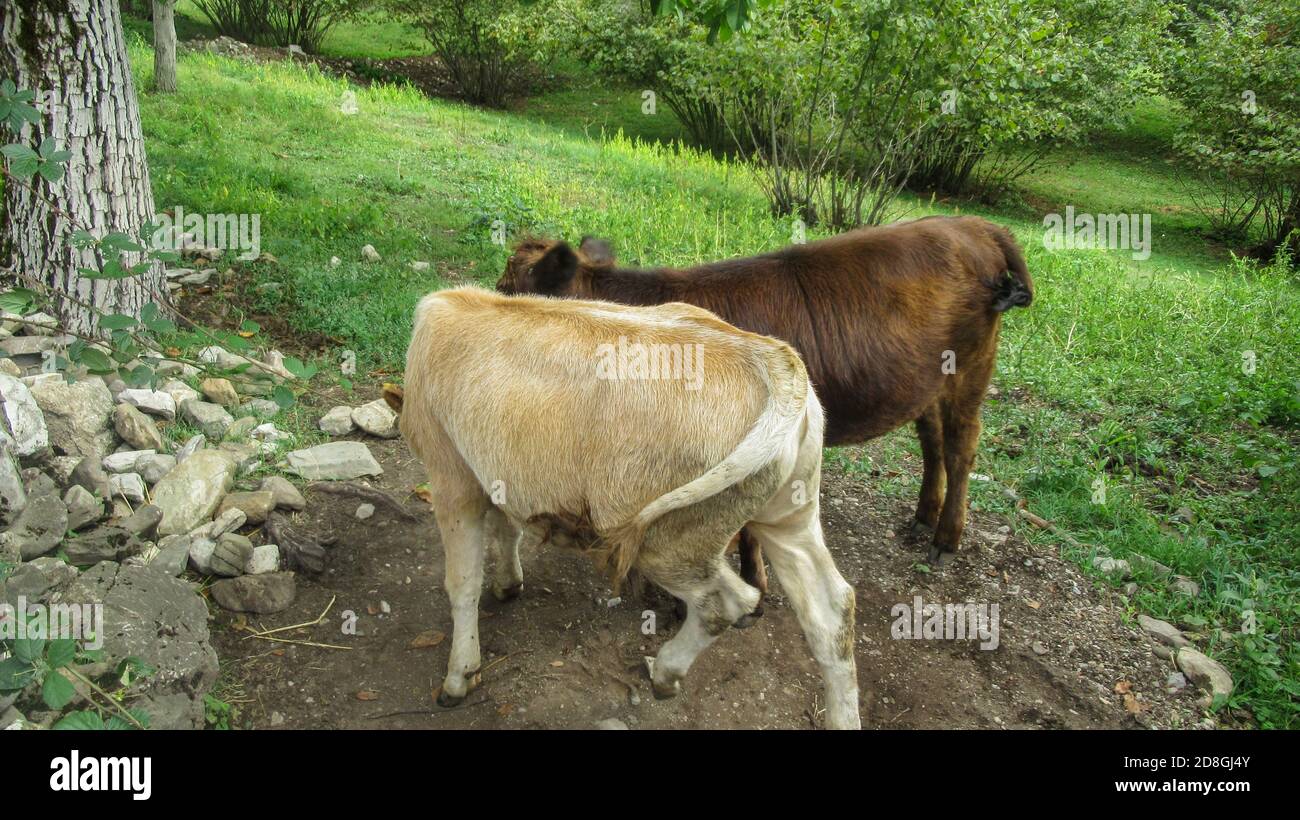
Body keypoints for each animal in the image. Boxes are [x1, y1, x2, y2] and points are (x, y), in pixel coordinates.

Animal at [394, 286, 860, 729]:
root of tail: (775, 360)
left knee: (725, 603)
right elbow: (507, 529)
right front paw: (508, 584)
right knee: (832, 612)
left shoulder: (451, 475)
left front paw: (459, 675)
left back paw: (666, 671)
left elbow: (463, 582)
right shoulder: (493, 473)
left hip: (669, 539)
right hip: (790, 517)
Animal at [497, 215, 1033, 601]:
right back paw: (922, 517)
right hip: (928, 384)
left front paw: (747, 582)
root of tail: (975, 225)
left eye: (510, 290)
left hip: (970, 372)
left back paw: (946, 537)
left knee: (961, 448)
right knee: (933, 443)